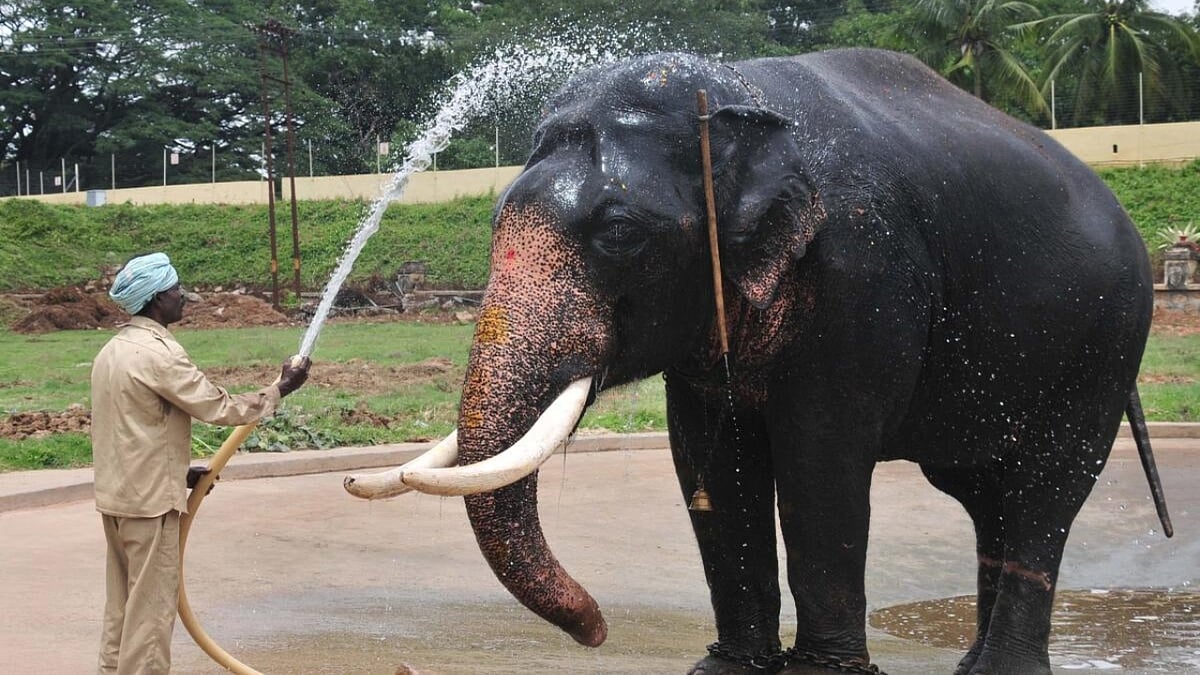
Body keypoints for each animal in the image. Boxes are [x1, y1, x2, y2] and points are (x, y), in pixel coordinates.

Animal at [345, 49, 1172, 674]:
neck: (739, 97)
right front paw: (727, 668)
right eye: (495, 220)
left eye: (620, 232)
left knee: (1046, 490)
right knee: (987, 495)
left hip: (1107, 345)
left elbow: (820, 464)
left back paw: (1001, 666)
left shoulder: (862, 279)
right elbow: (712, 461)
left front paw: (823, 672)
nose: (596, 631)